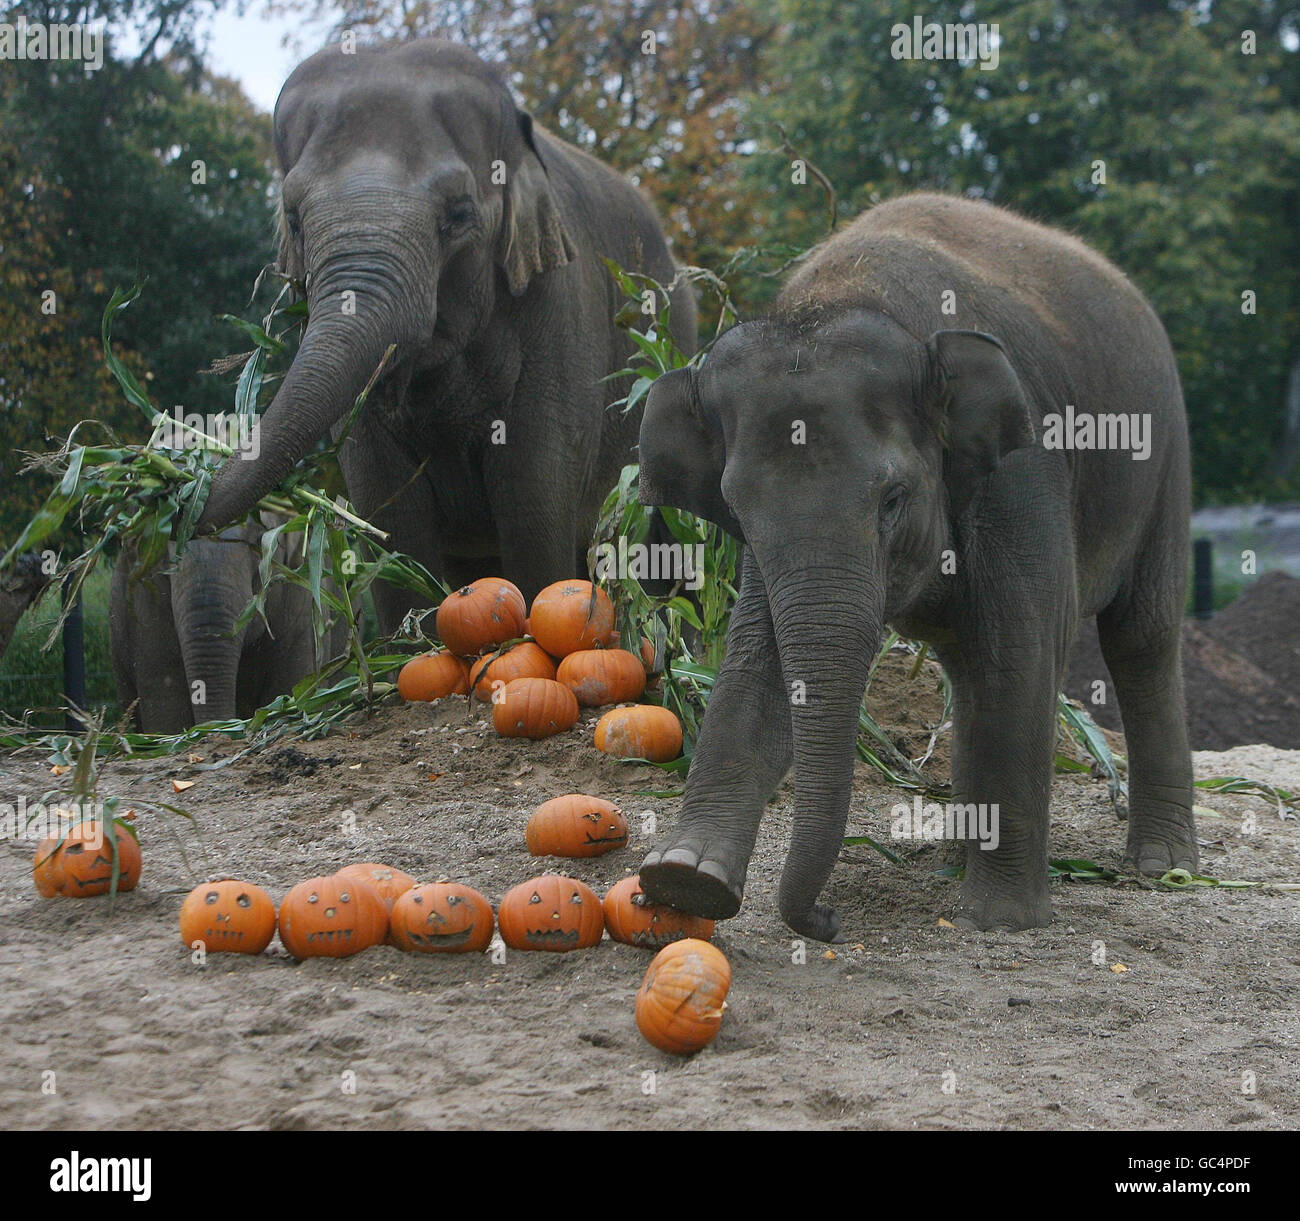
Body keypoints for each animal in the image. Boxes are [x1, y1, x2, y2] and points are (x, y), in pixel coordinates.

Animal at [111, 514, 347, 732]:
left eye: (260, 539)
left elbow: (295, 684)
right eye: (165, 550)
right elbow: (166, 705)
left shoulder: (302, 602)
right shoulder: (146, 611)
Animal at [196, 39, 695, 628]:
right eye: (293, 218)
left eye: (458, 216)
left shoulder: (561, 312)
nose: (178, 490)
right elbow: (391, 522)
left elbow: (533, 511)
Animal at [636, 192, 1195, 939]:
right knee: (969, 666)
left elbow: (1020, 652)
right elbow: (760, 663)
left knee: (1140, 637)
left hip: (1165, 456)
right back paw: (957, 857)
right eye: (734, 506)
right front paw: (685, 879)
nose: (828, 919)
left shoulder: (1023, 471)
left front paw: (1000, 920)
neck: (847, 294)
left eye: (893, 499)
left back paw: (1161, 866)